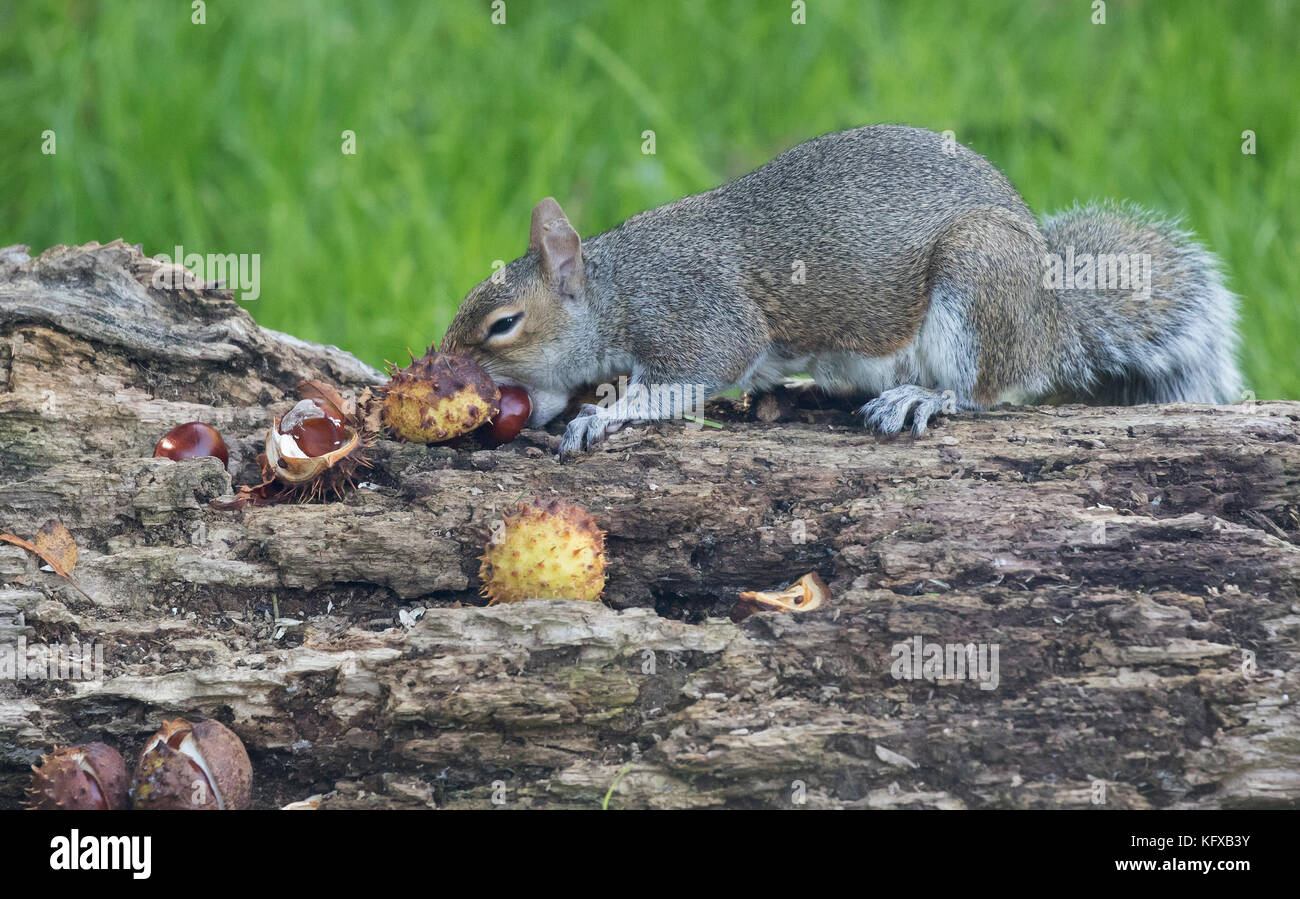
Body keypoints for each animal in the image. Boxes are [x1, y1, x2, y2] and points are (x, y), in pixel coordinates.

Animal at [441, 125, 1241, 453]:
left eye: (503, 324)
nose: (445, 370)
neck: (617, 290)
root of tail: (1050, 318)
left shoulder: (698, 314)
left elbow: (690, 373)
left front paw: (609, 414)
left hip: (977, 283)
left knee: (981, 391)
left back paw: (924, 396)